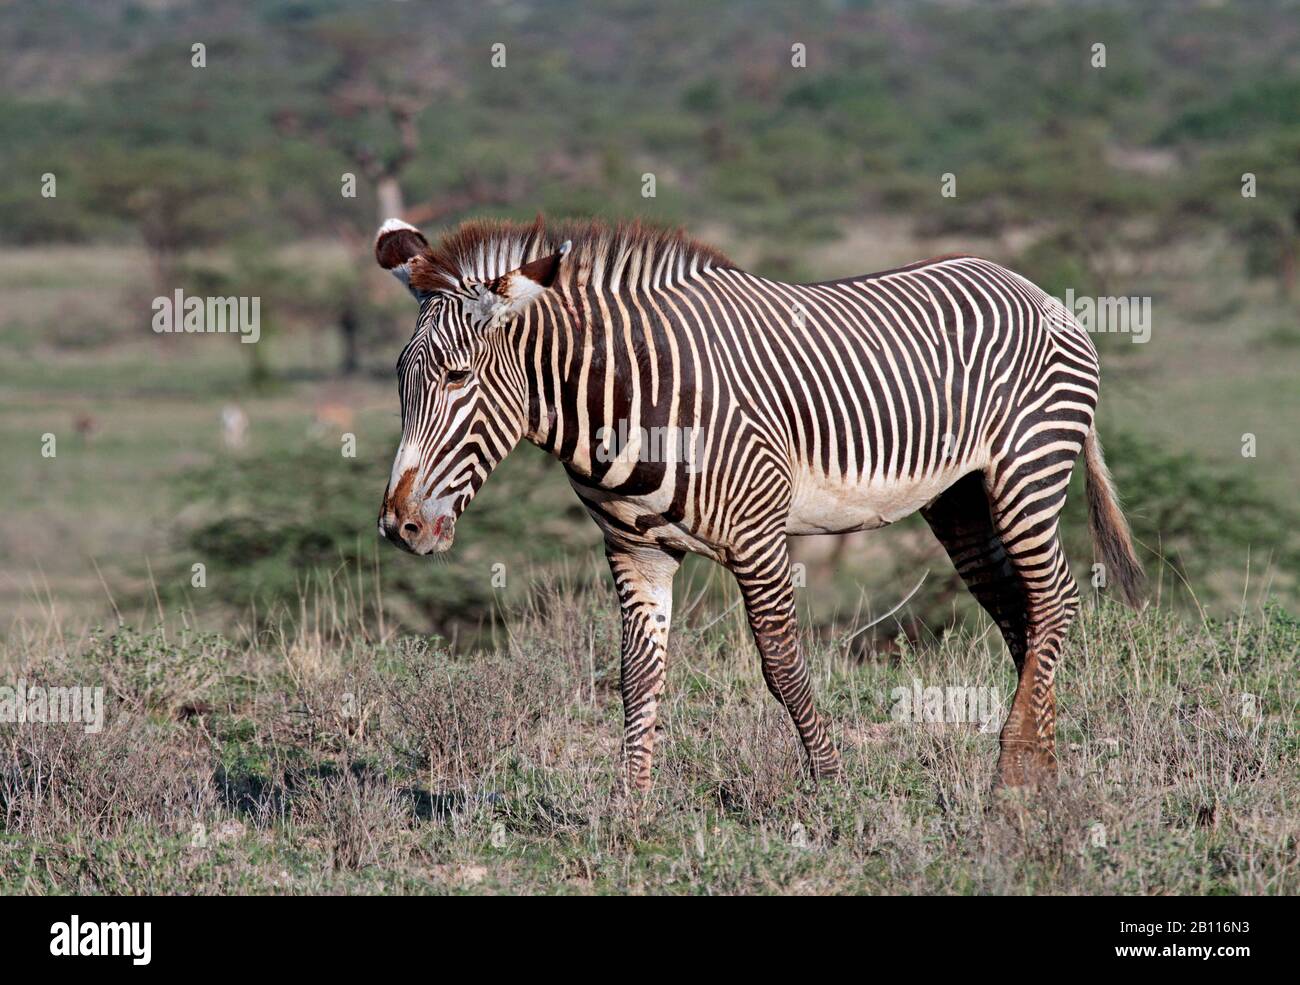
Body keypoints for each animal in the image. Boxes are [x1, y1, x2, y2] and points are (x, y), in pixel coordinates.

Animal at [375, 215, 1144, 792]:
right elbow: (636, 675)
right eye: (399, 378)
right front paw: (629, 812)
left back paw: (1014, 770)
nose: (399, 526)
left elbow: (780, 666)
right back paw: (1038, 763)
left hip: (1026, 470)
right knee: (1021, 610)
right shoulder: (635, 550)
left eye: (457, 377)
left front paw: (831, 784)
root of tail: (1030, 287)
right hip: (960, 499)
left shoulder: (758, 539)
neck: (623, 405)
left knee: (1056, 597)